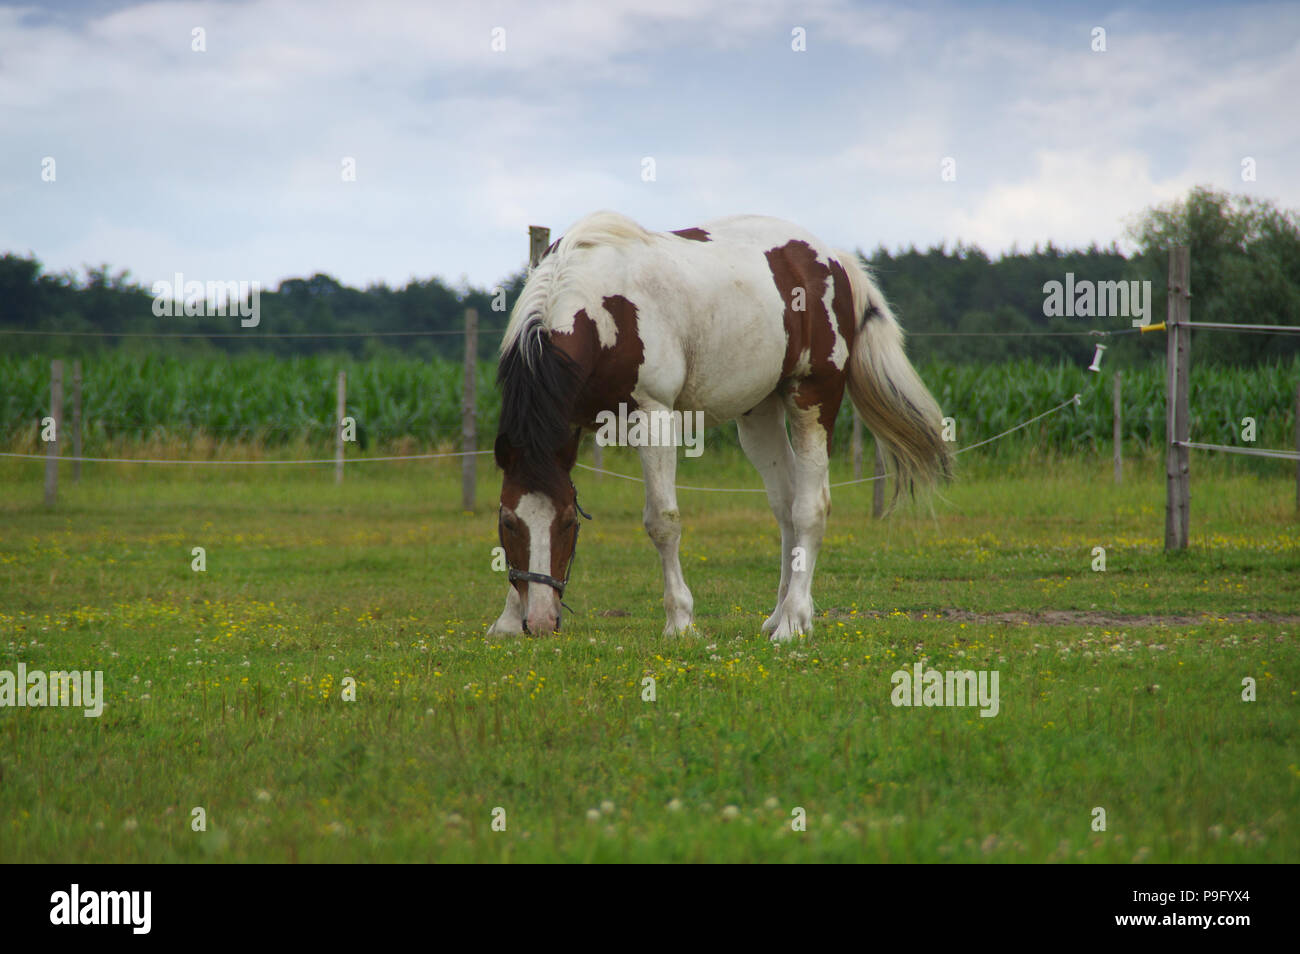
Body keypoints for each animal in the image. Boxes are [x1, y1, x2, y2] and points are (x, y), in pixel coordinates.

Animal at [489, 211, 951, 640]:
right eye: (508, 523)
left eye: (569, 522)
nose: (541, 622)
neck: (595, 302)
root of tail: (832, 260)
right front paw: (508, 619)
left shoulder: (653, 416)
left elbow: (663, 521)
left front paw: (680, 622)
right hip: (759, 414)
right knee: (785, 506)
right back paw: (778, 615)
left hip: (813, 399)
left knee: (810, 509)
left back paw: (794, 621)